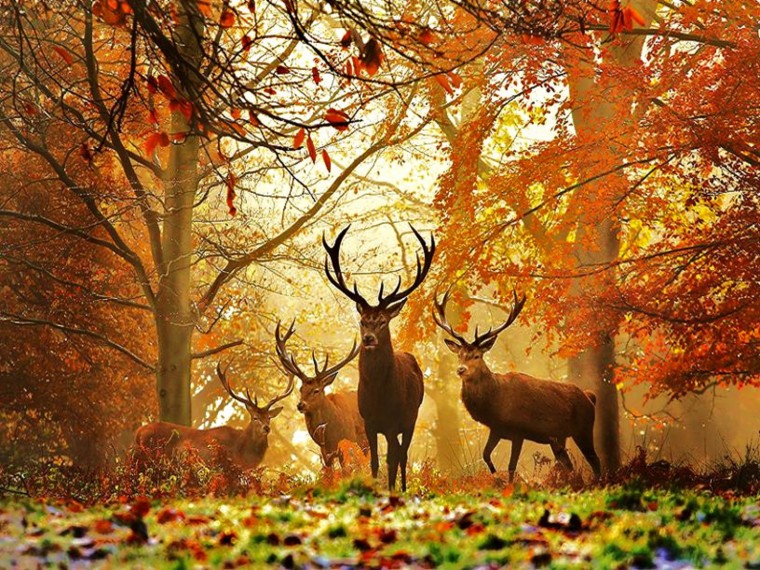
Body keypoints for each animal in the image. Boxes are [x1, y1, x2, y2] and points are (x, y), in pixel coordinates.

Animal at [323, 224, 435, 491]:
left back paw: (402, 488)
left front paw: (392, 490)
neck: (378, 394)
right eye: (363, 321)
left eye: (383, 321)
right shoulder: (369, 422)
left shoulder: (394, 421)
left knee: (402, 455)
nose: (369, 339)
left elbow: (392, 459)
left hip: (411, 417)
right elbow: (374, 461)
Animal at [433, 288, 601, 482]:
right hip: (558, 437)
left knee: (595, 461)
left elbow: (511, 466)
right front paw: (496, 478)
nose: (460, 369)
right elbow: (485, 455)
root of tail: (590, 397)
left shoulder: (519, 431)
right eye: (459, 355)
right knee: (568, 465)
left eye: (476, 355)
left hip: (584, 428)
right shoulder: (497, 429)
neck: (495, 403)